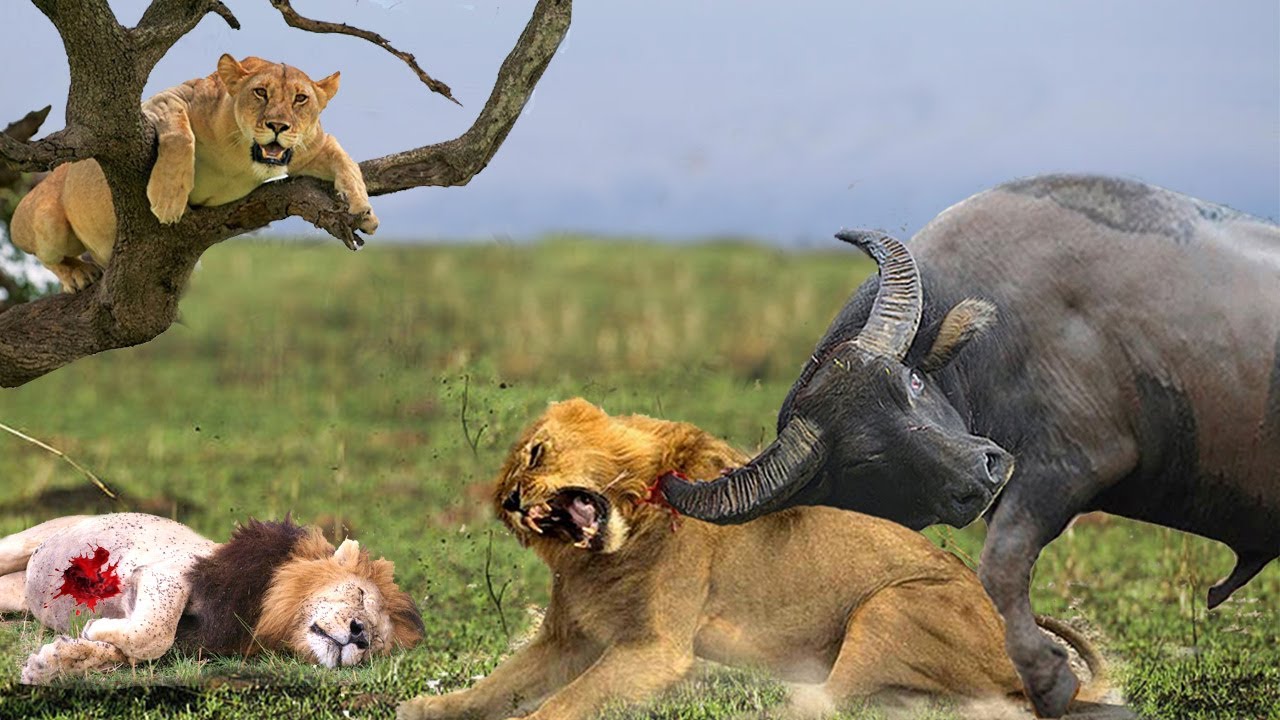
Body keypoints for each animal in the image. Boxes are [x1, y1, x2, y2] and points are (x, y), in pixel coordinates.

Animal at [0, 512, 422, 684]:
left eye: (376, 645)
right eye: (360, 593)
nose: (360, 635)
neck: (264, 617)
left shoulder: (194, 642)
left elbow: (126, 653)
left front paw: (52, 662)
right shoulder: (169, 572)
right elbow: (154, 634)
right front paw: (95, 627)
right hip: (22, 543)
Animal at [10, 54, 377, 292]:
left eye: (300, 98)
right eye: (260, 92)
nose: (277, 125)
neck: (241, 153)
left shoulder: (310, 146)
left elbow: (343, 157)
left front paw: (363, 211)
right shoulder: (163, 101)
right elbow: (180, 134)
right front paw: (168, 199)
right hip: (45, 219)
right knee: (45, 254)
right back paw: (78, 275)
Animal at [398, 399, 1102, 720]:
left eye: (537, 453)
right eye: (505, 496)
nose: (517, 501)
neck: (615, 546)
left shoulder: (655, 649)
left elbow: (558, 704)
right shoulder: (569, 638)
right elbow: (502, 684)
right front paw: (430, 708)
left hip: (891, 604)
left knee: (823, 703)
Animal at [664, 174, 1279, 717]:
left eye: (911, 382)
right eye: (866, 458)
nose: (981, 474)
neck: (1003, 349)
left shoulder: (1064, 467)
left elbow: (999, 568)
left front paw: (1048, 679)